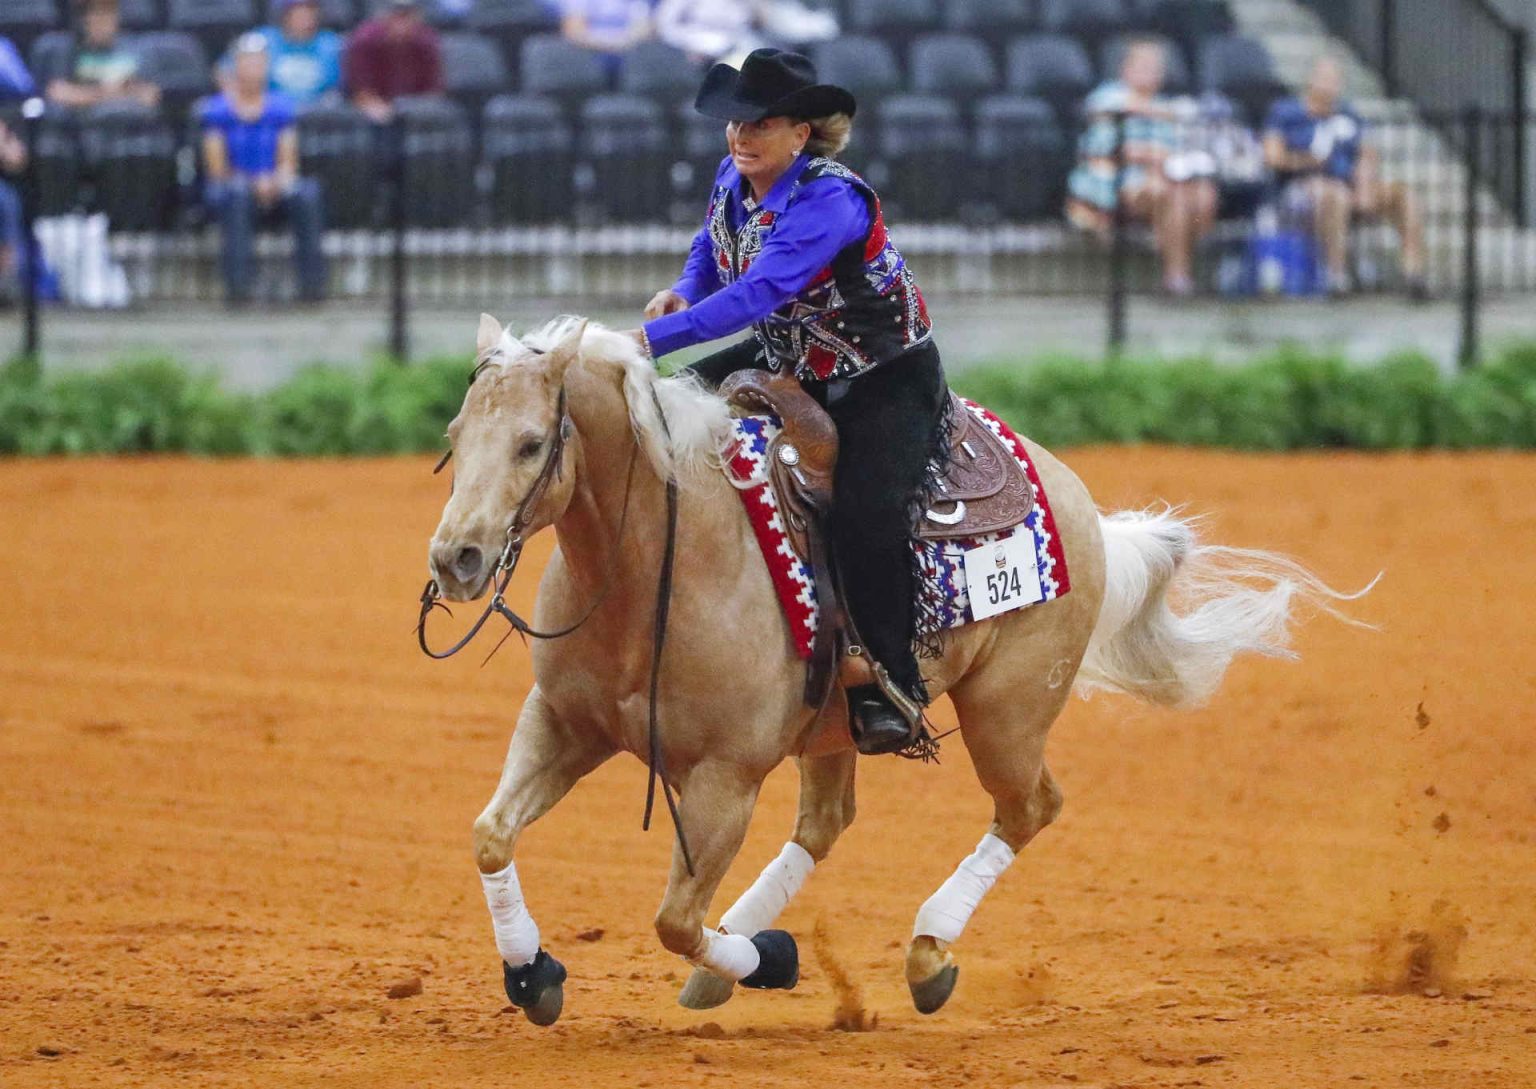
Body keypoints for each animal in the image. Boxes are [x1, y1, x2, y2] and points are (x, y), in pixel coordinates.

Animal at [425, 314, 1363, 1025]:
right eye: (454, 437)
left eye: (532, 443)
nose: (456, 558)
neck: (660, 558)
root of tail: (1080, 501)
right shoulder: (562, 722)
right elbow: (488, 834)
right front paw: (533, 973)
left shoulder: (726, 779)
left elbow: (674, 917)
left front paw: (770, 961)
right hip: (835, 725)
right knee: (827, 823)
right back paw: (731, 969)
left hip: (1009, 711)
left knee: (1029, 807)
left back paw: (925, 954)